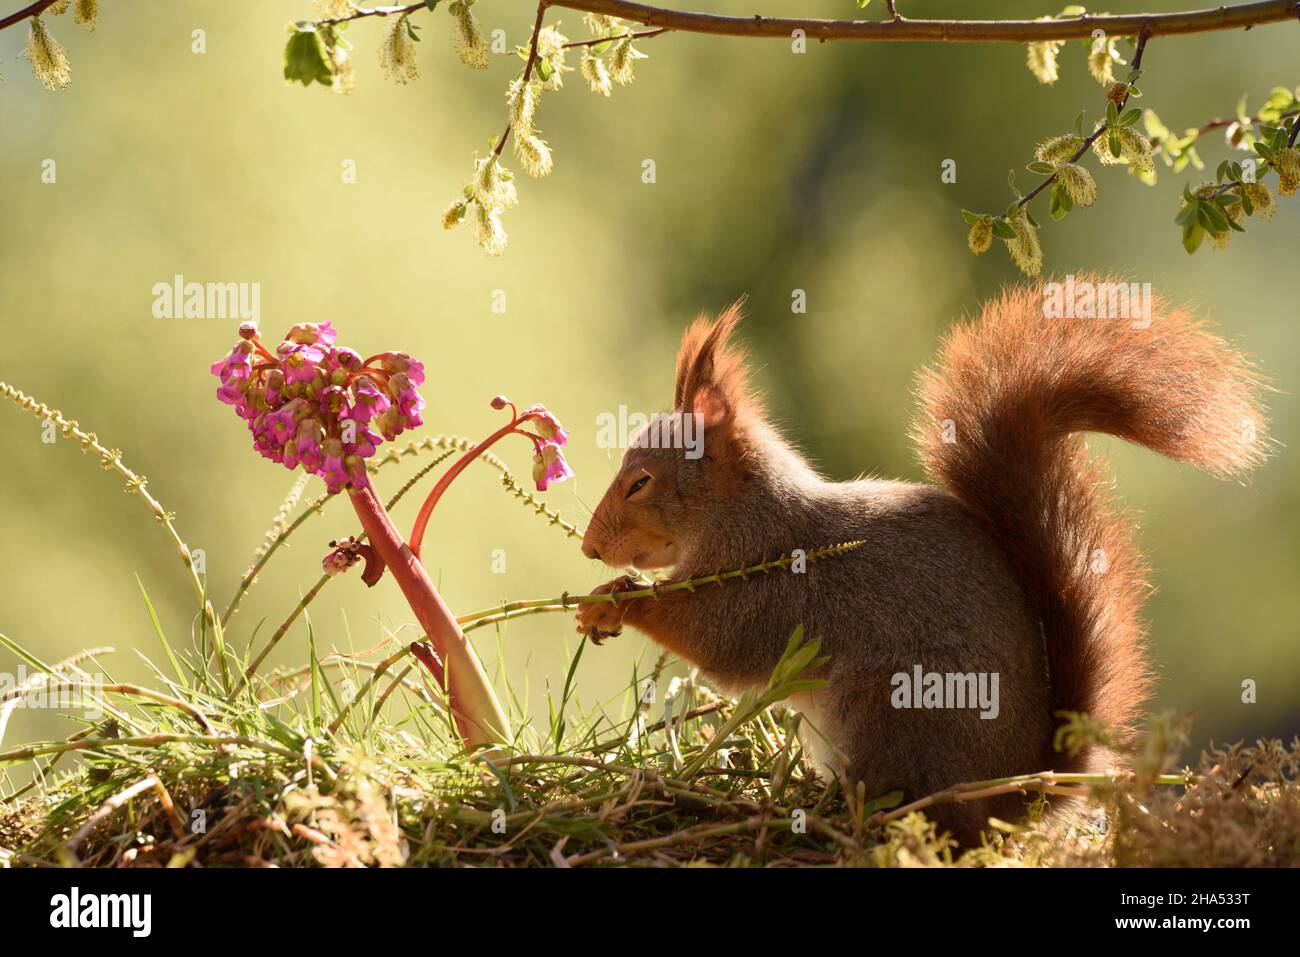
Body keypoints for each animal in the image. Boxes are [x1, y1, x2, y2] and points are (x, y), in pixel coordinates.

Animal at [575, 277, 1268, 841]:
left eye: (640, 482)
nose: (589, 547)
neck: (746, 509)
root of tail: (1016, 793)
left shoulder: (770, 582)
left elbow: (711, 637)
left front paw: (613, 600)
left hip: (898, 716)